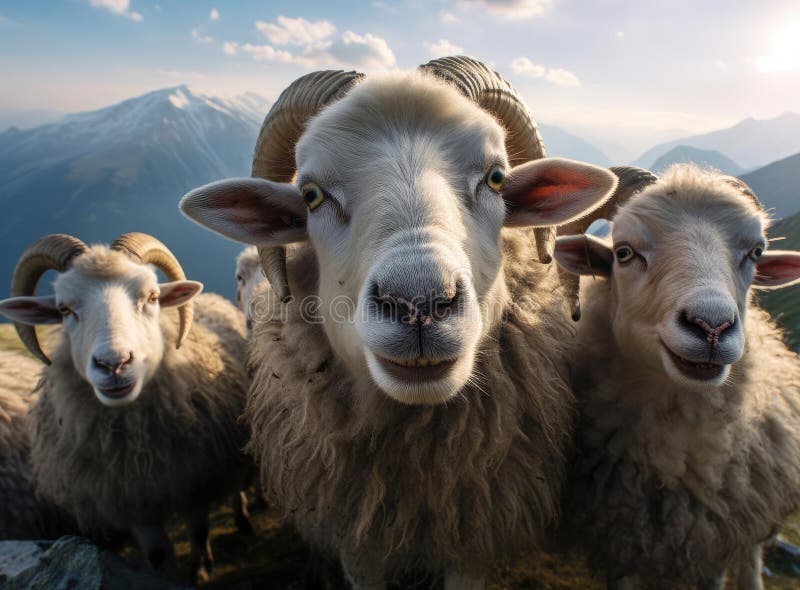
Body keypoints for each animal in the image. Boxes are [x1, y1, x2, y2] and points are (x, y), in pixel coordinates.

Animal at [553, 164, 800, 589]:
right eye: (623, 253)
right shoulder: (622, 543)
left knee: (750, 556)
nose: (712, 326)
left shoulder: (713, 540)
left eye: (755, 253)